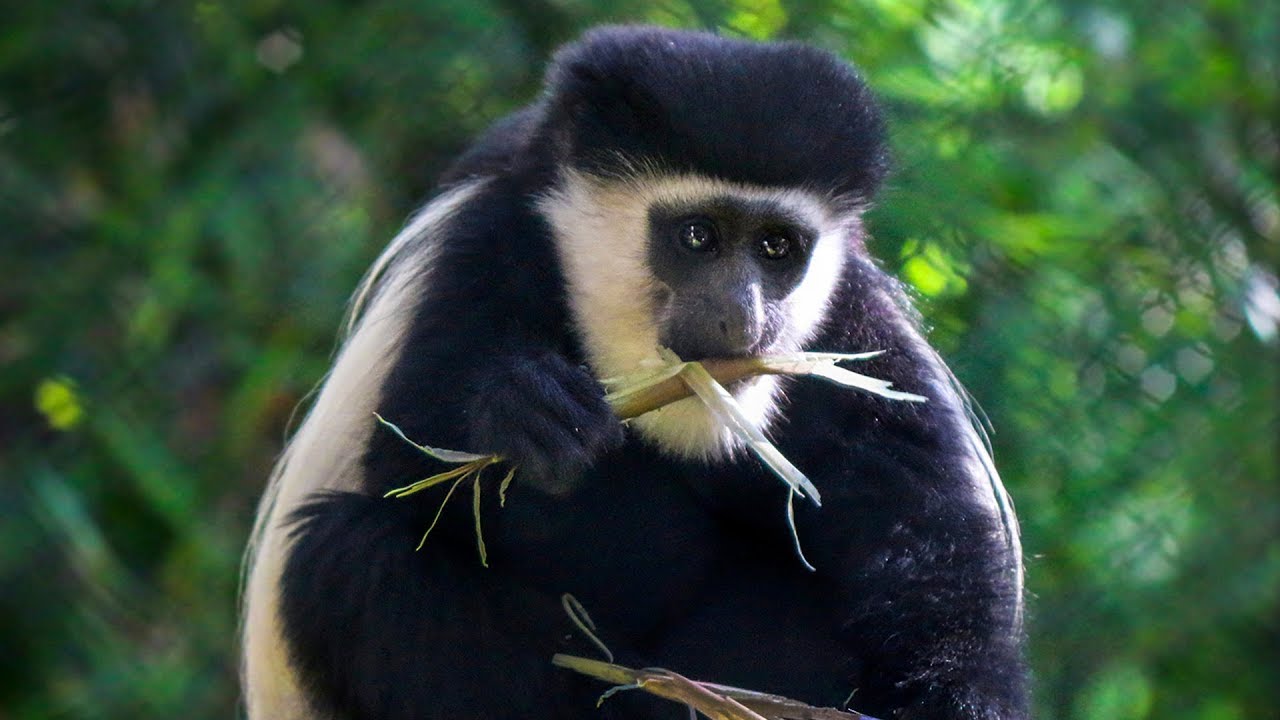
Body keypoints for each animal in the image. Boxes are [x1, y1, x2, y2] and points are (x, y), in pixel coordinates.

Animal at [241, 25, 1028, 720]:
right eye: (697, 236)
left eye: (777, 247)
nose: (740, 317)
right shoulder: (479, 257)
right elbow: (413, 473)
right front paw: (528, 417)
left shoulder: (862, 337)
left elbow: (935, 573)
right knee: (347, 558)